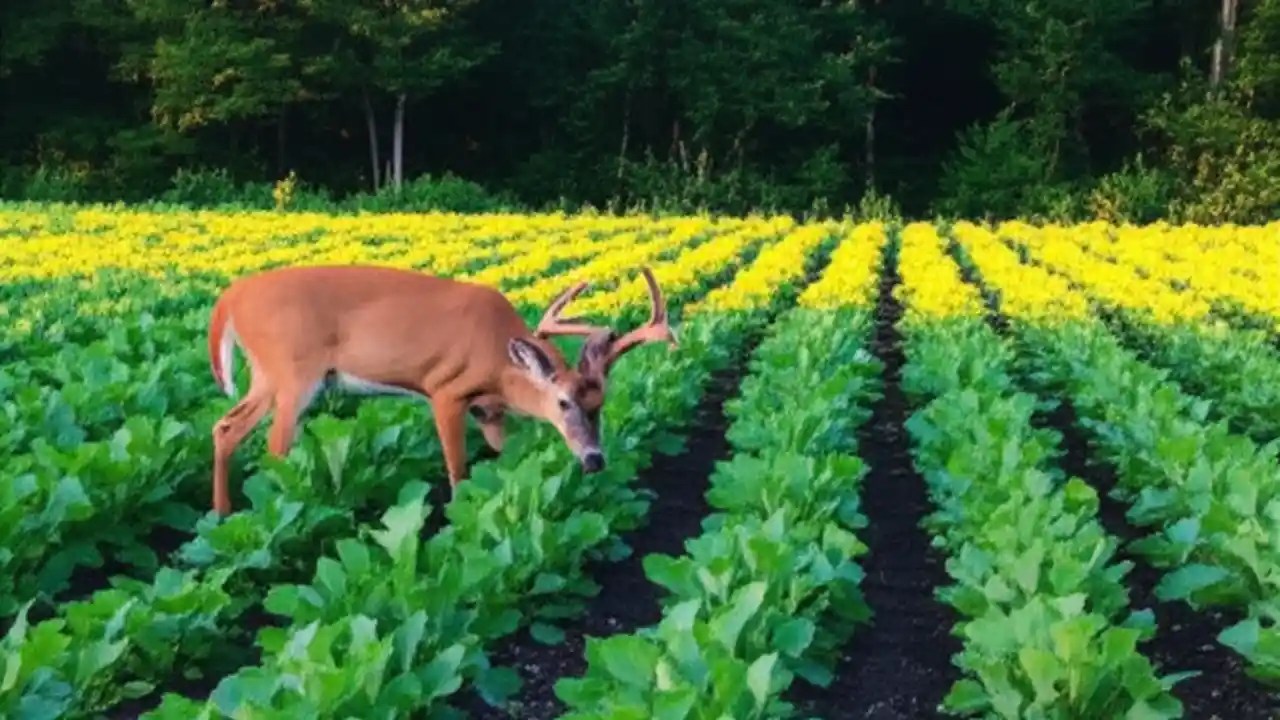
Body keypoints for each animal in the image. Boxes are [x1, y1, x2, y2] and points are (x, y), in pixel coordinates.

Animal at [205, 264, 677, 516]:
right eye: (563, 403)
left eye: (600, 403)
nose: (595, 460)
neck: (499, 362)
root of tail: (230, 298)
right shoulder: (445, 391)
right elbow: (457, 469)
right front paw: (456, 518)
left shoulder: (489, 410)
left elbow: (502, 458)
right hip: (291, 373)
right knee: (272, 445)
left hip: (267, 376)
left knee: (224, 428)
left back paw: (222, 514)